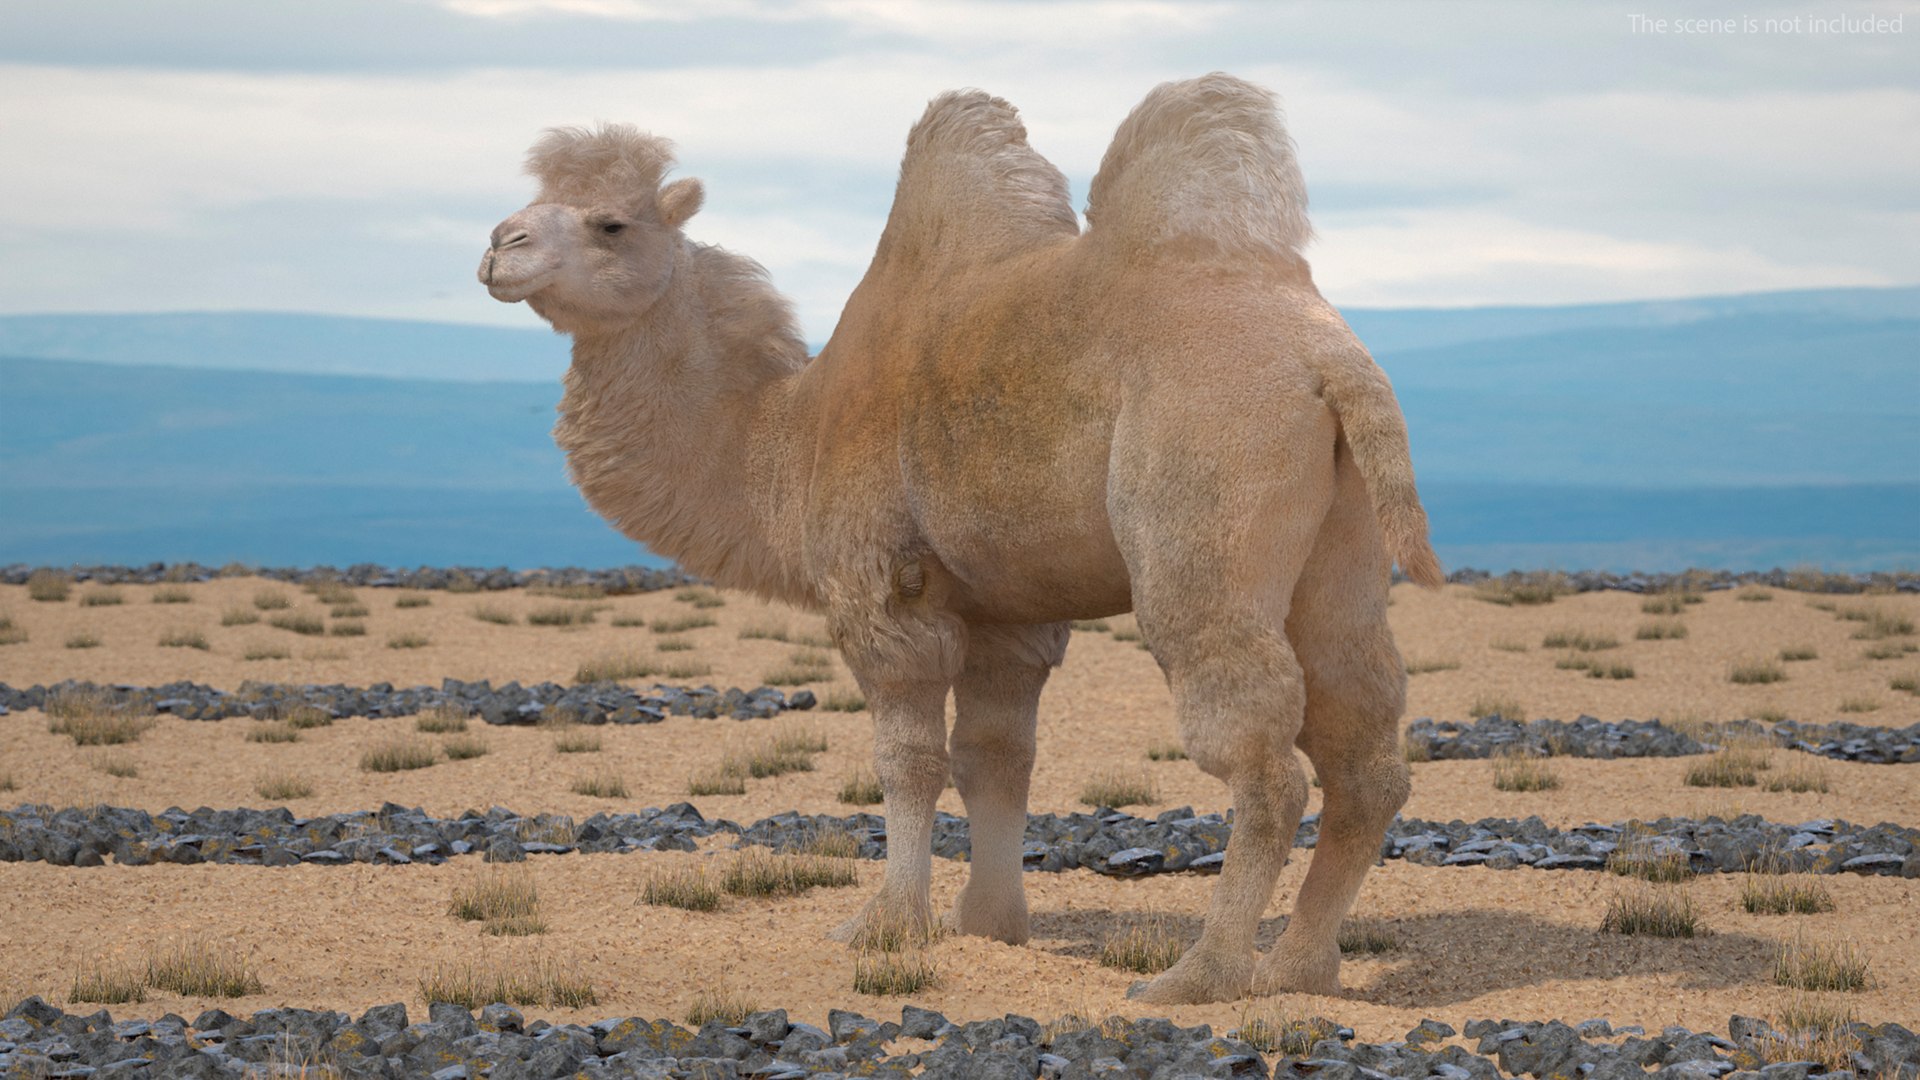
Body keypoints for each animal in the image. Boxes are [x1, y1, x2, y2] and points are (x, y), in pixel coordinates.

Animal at [477, 73, 1442, 1005]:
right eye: (533, 202)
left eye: (612, 223)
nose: (498, 245)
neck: (788, 435)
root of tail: (1330, 361)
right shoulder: (1005, 613)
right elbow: (995, 758)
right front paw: (989, 922)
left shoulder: (883, 592)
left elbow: (907, 760)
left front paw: (884, 923)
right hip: (1342, 543)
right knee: (1364, 746)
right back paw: (1301, 969)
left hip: (1205, 493)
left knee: (1262, 757)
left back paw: (1198, 977)